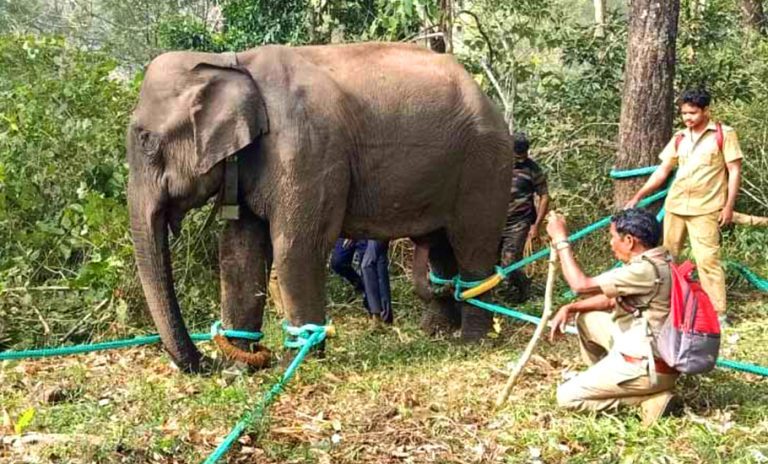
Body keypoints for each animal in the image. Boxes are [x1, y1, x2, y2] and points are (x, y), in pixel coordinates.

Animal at [126, 42, 519, 373]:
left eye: (146, 141)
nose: (206, 362)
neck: (231, 63)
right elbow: (239, 251)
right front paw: (239, 370)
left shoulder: (306, 149)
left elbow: (297, 247)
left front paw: (290, 367)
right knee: (440, 246)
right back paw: (436, 332)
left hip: (486, 162)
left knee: (472, 243)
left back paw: (472, 341)